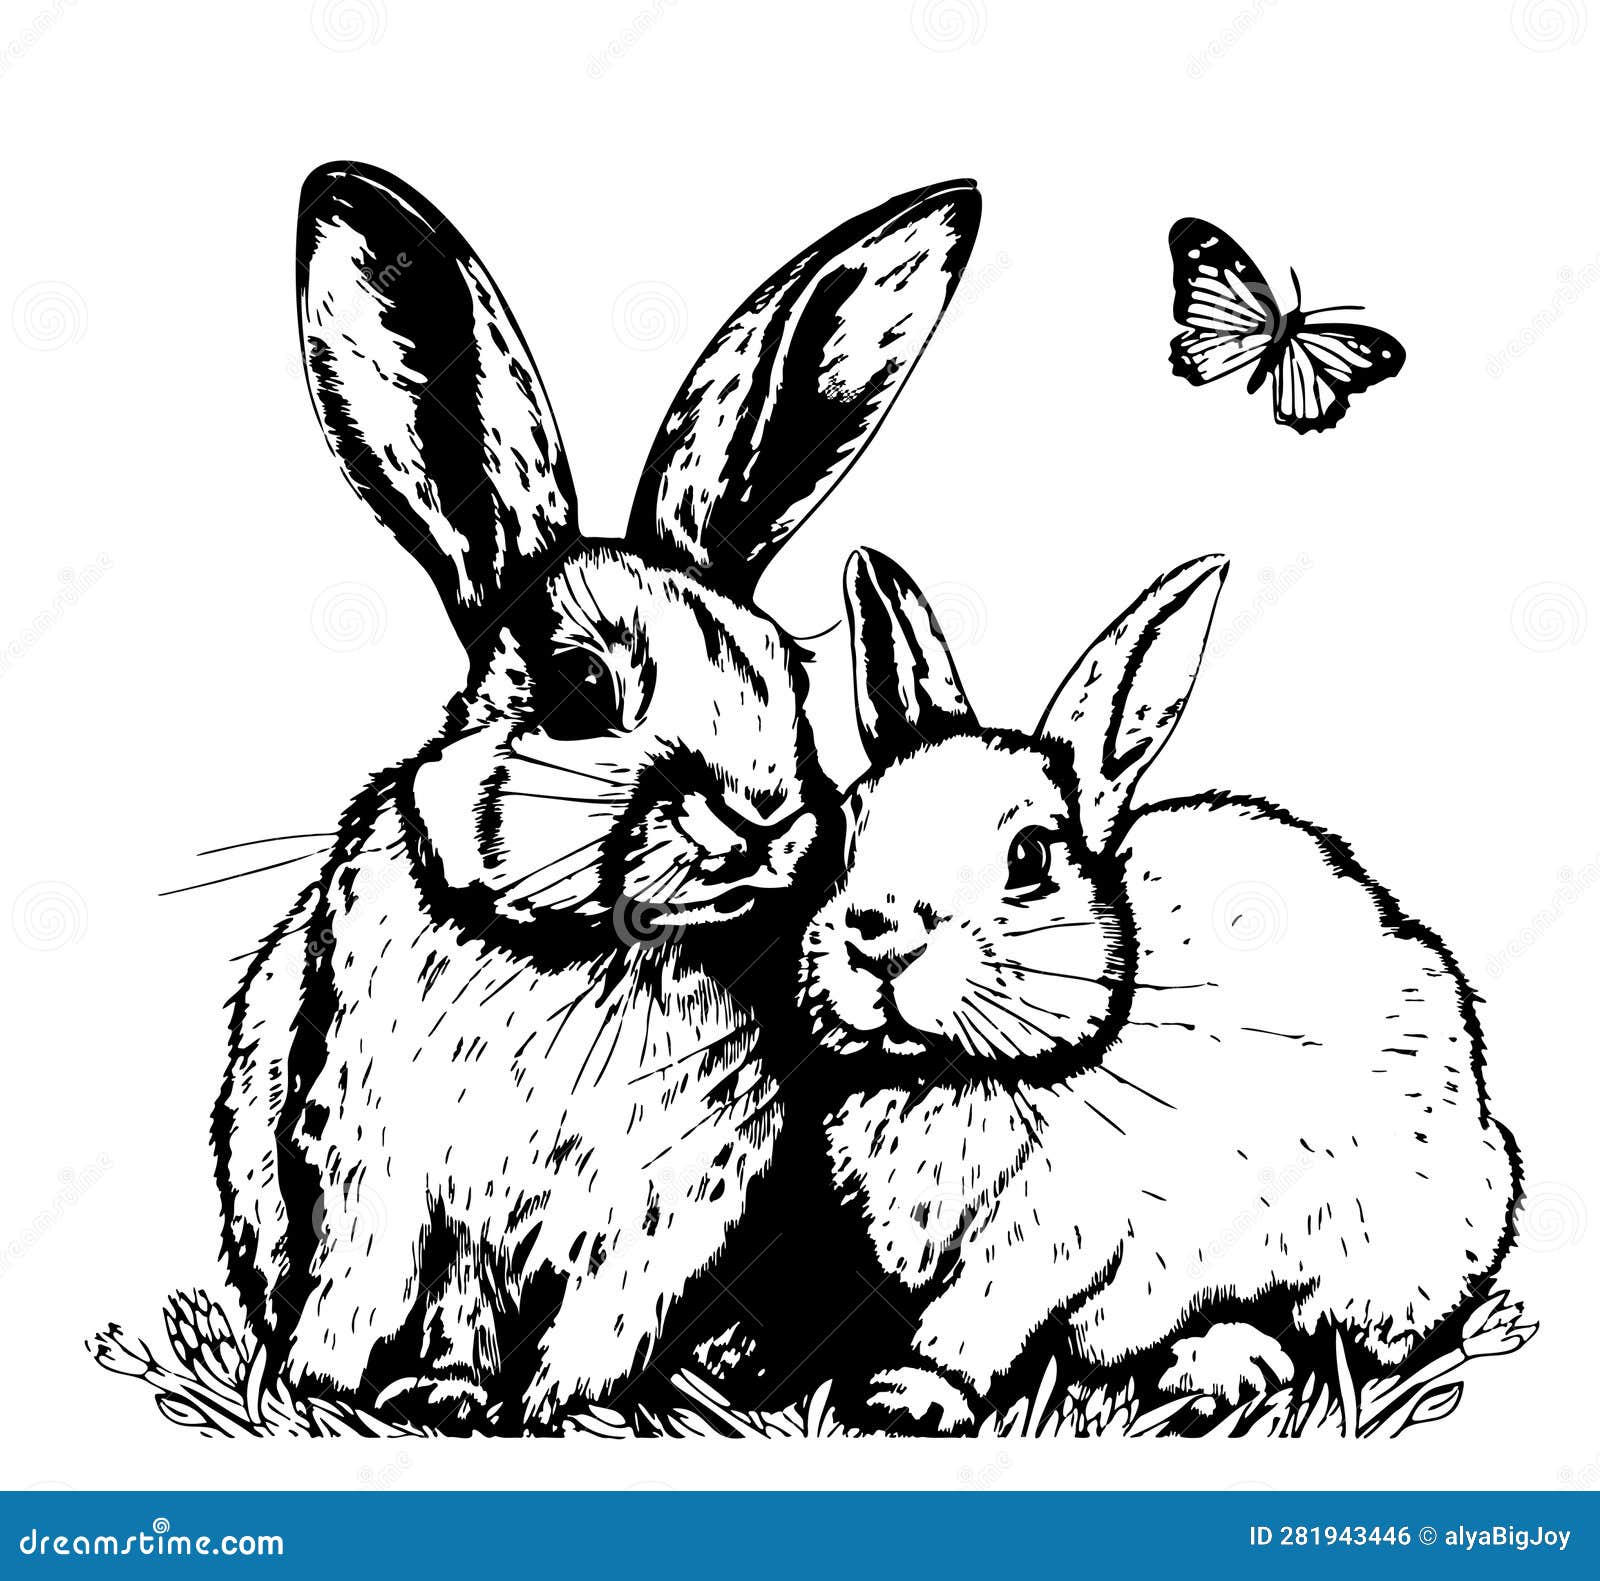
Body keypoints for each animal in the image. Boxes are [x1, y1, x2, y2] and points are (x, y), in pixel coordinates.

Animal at [213, 163, 979, 1430]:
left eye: (789, 670)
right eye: (578, 689)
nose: (762, 818)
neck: (573, 949)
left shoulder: (672, 1207)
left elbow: (602, 1319)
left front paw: (560, 1411)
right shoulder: (384, 1169)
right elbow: (381, 1289)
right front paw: (352, 1390)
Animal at [799, 549, 1520, 1431]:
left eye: (1030, 855)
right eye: (847, 830)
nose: (875, 937)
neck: (962, 1074)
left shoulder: (1058, 1222)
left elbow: (983, 1307)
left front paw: (913, 1394)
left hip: (1391, 1229)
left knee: (1328, 1330)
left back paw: (1223, 1367)